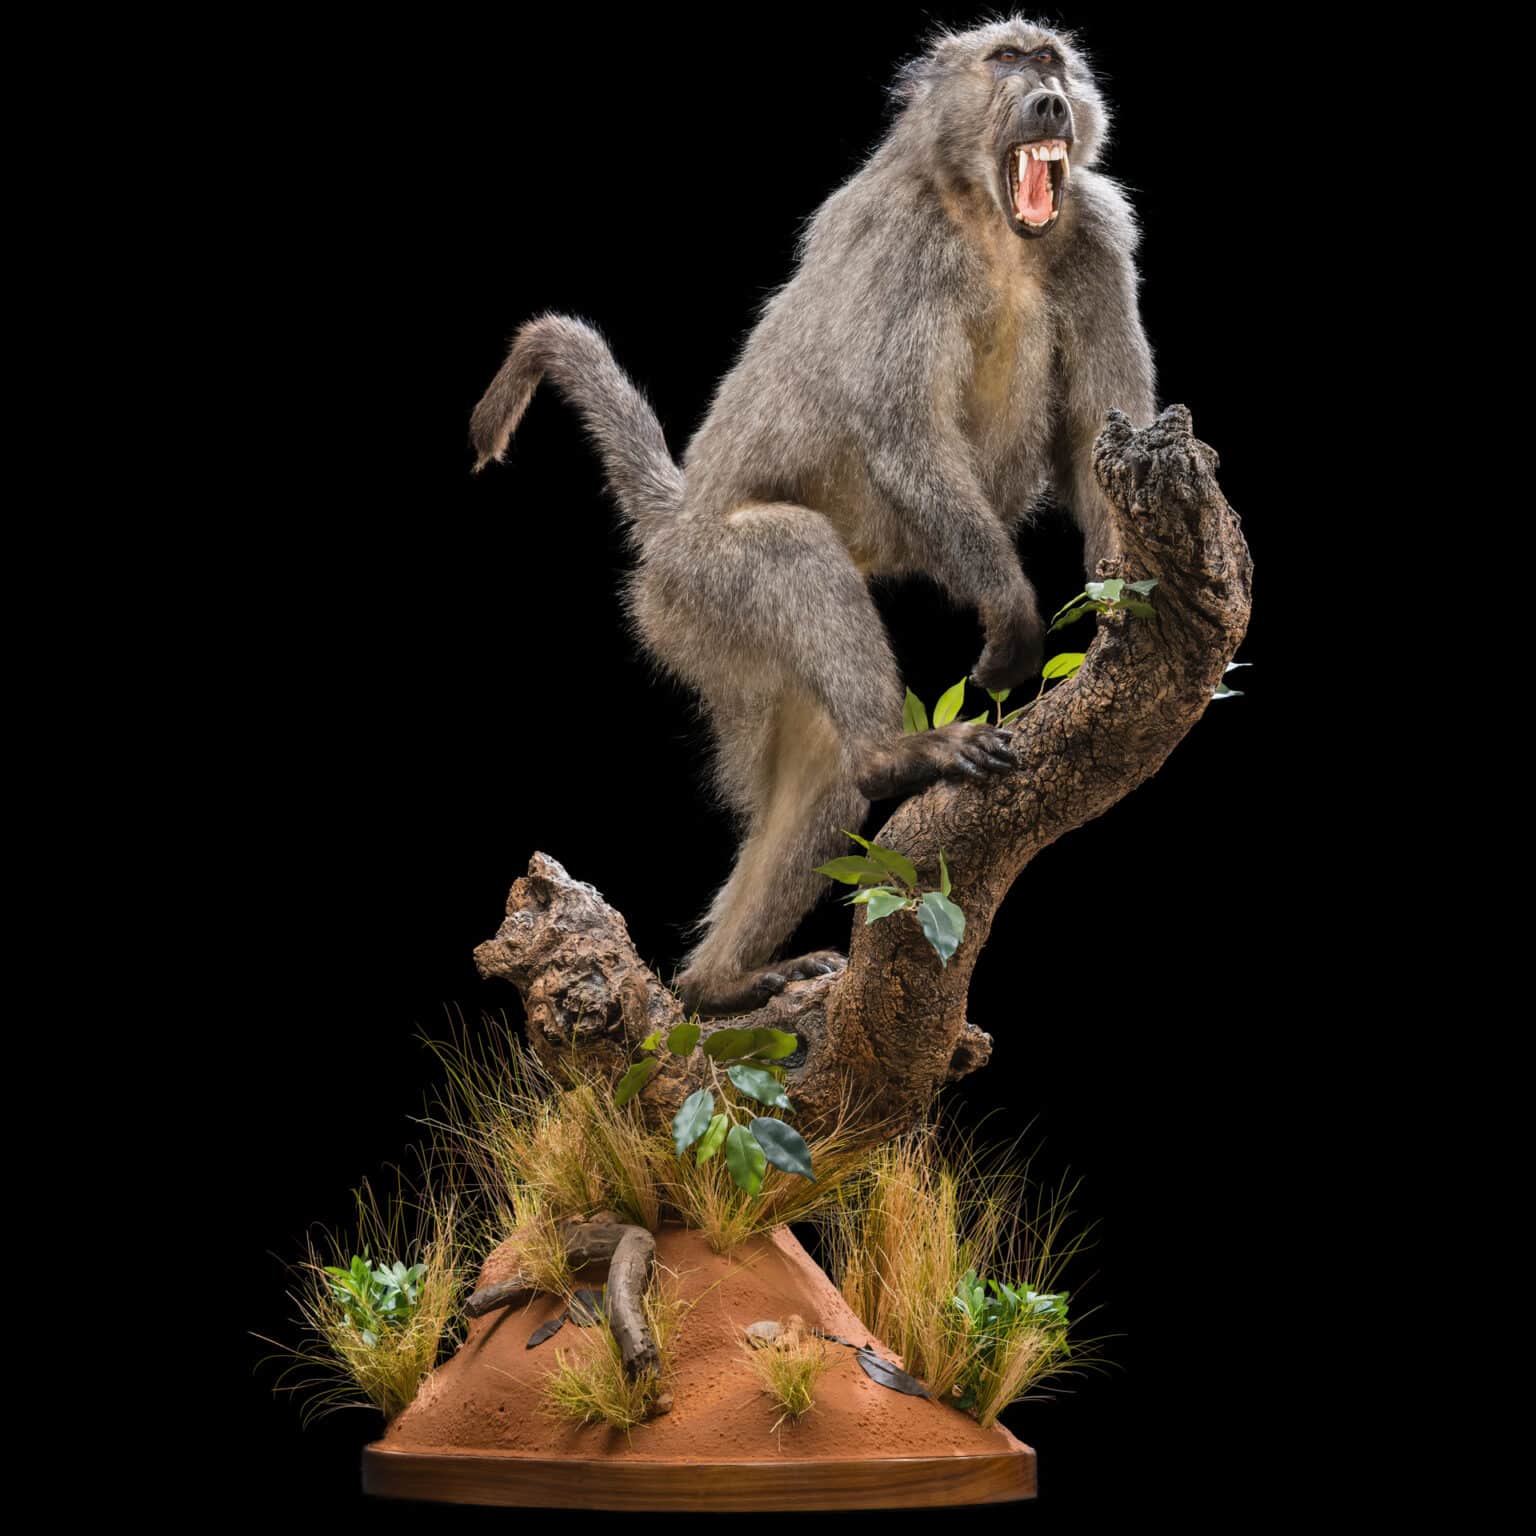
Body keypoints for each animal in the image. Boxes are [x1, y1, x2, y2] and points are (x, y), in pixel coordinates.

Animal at [469, 15, 1157, 1016]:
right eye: (1005, 61)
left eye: (1051, 61)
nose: (1048, 101)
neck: (986, 223)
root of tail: (677, 517)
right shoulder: (906, 248)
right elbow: (906, 437)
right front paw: (1015, 622)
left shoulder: (1095, 232)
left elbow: (1099, 431)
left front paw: (1120, 597)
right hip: (697, 590)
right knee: (796, 550)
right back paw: (890, 762)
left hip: (718, 633)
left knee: (818, 769)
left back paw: (717, 984)